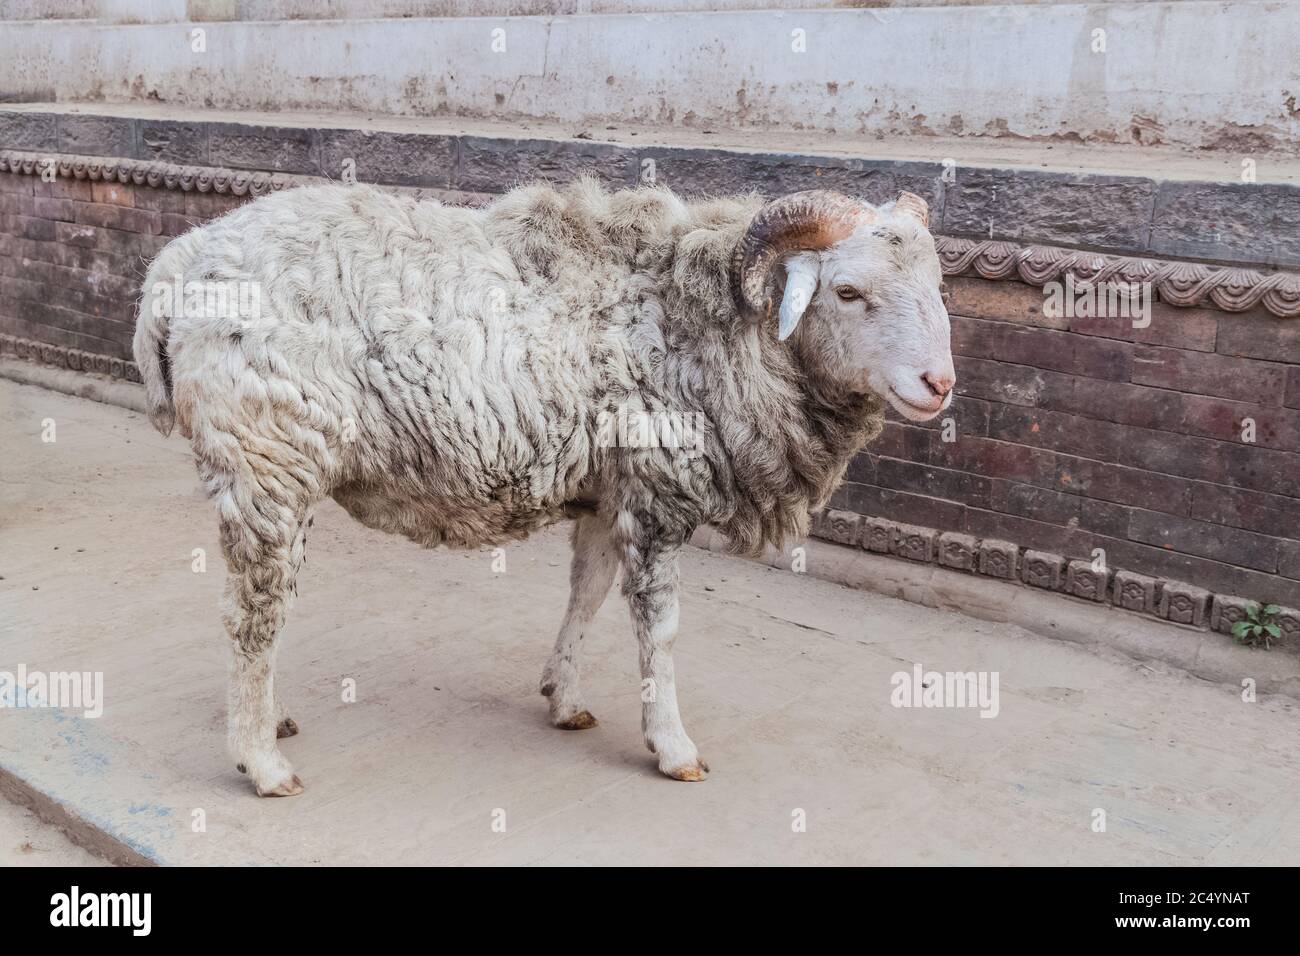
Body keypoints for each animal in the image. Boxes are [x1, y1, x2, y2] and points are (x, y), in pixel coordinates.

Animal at [133, 178, 954, 796]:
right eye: (846, 291)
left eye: (938, 286)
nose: (938, 385)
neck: (713, 323)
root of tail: (176, 265)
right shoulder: (660, 494)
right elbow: (660, 628)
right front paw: (673, 746)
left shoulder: (611, 489)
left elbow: (586, 592)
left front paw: (566, 699)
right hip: (266, 460)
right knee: (253, 613)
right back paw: (264, 763)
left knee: (267, 604)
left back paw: (270, 719)